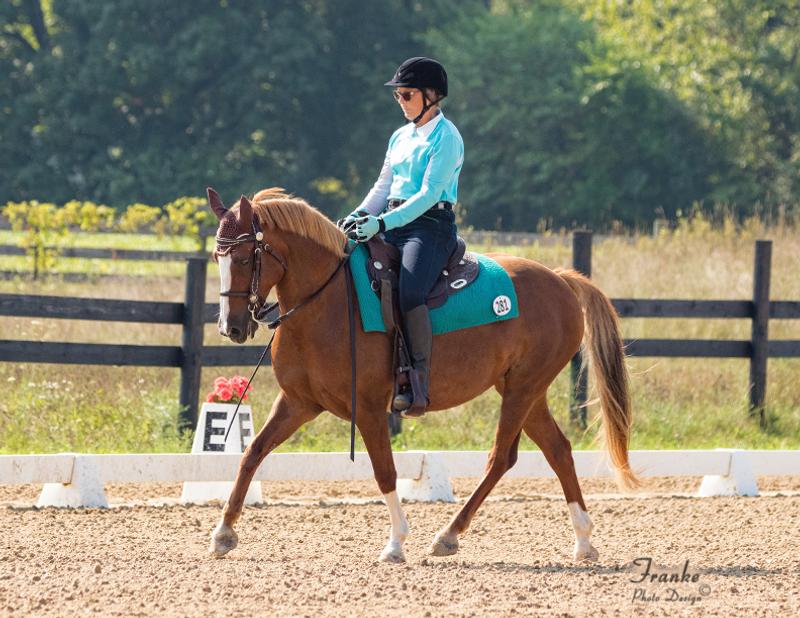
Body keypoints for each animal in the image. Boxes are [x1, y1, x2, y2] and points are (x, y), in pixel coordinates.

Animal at [206, 187, 638, 564]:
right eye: (216, 256)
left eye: (244, 258)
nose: (232, 327)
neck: (325, 302)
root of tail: (561, 278)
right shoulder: (298, 403)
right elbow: (252, 453)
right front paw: (223, 533)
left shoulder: (368, 409)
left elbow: (384, 472)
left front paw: (396, 543)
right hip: (524, 390)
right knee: (558, 450)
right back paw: (583, 542)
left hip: (523, 389)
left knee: (501, 457)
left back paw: (448, 535)